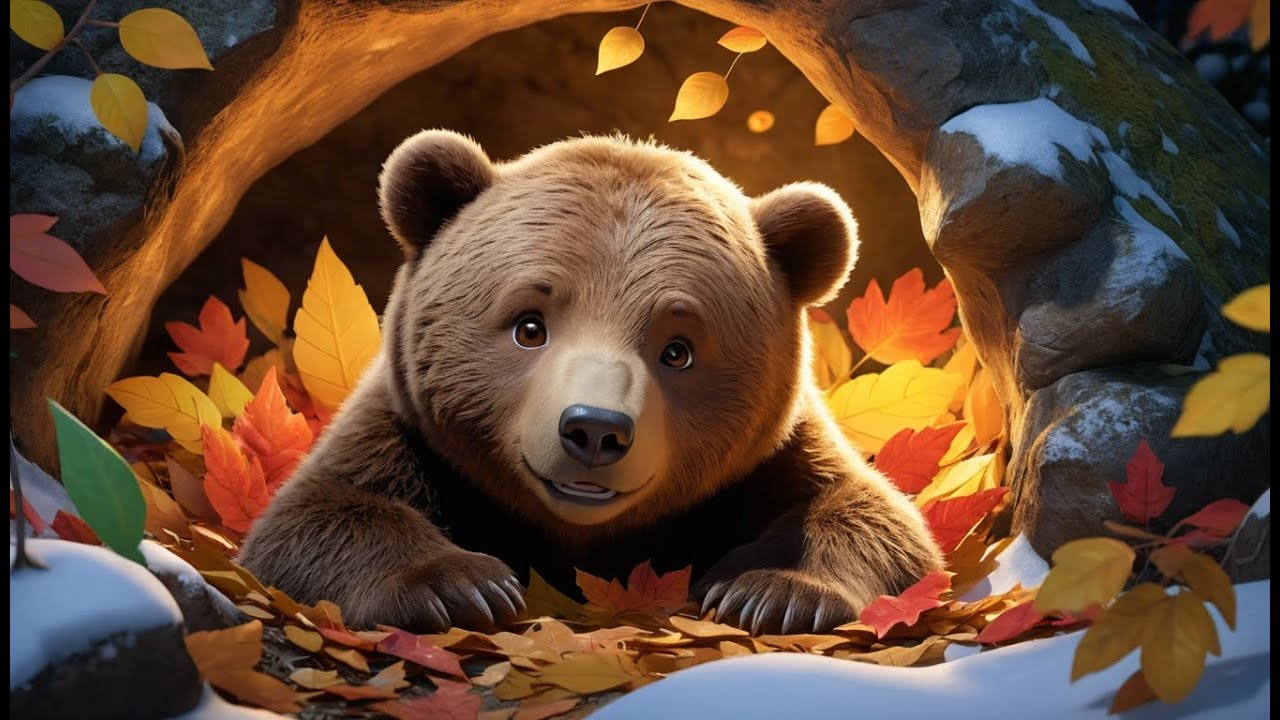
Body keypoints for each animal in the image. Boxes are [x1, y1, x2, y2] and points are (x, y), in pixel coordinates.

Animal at [238, 130, 943, 635]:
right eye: (529, 325)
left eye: (678, 350)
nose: (595, 431)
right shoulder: (411, 434)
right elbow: (312, 516)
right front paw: (460, 585)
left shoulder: (769, 457)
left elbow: (875, 515)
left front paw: (773, 592)